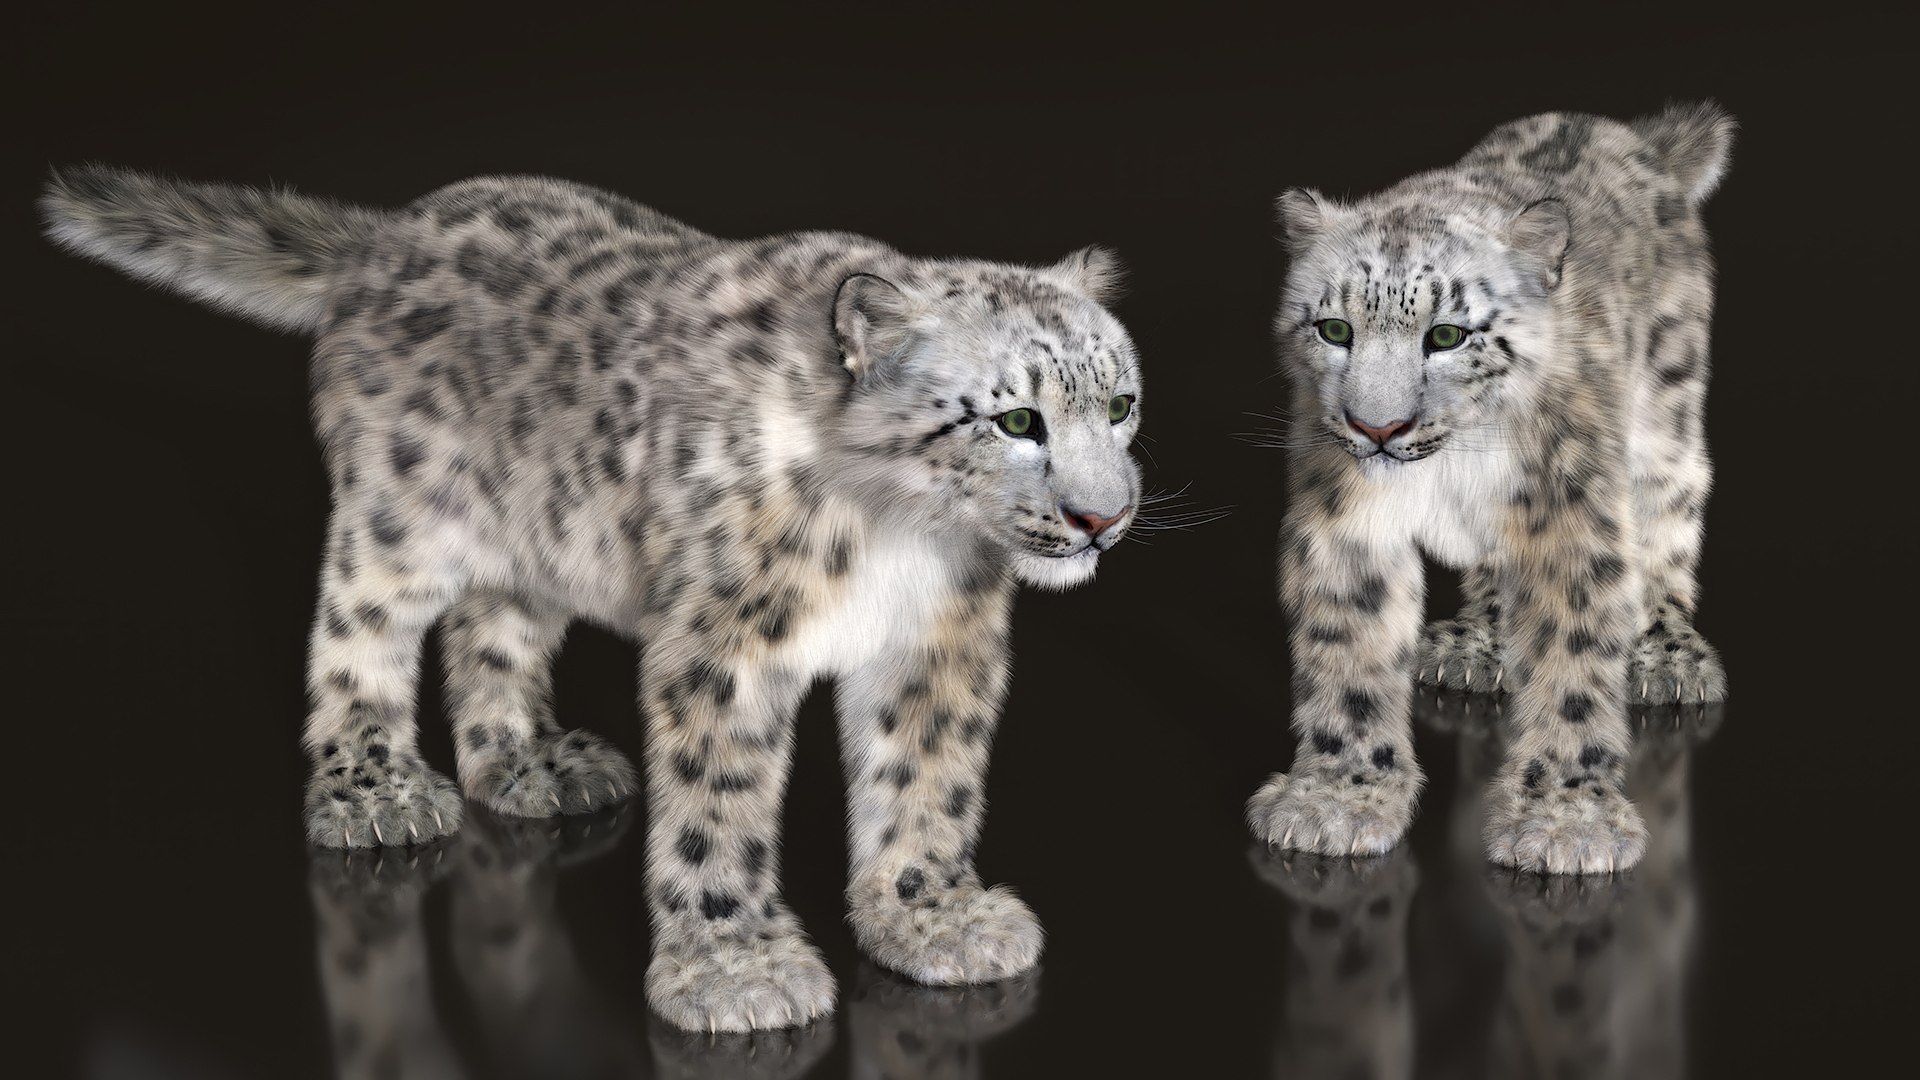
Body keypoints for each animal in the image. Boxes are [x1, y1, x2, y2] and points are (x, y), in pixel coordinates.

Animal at [42, 167, 1144, 1031]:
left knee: (490, 632)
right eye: (1015, 418)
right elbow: (718, 805)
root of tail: (387, 234)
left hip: (534, 540)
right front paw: (736, 968)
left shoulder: (938, 647)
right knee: (358, 632)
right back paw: (376, 792)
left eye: (1122, 402)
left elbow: (929, 781)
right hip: (399, 524)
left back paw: (530, 763)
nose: (1103, 517)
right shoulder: (725, 647)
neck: (902, 541)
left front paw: (932, 914)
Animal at [1247, 103, 1733, 875]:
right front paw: (1336, 798)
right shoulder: (1344, 519)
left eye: (1447, 335)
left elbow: (1573, 662)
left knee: (1669, 520)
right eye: (1334, 328)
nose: (1376, 427)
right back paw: (1476, 646)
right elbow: (1349, 649)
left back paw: (1668, 656)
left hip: (1668, 413)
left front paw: (1566, 821)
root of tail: (1630, 136)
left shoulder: (1570, 519)